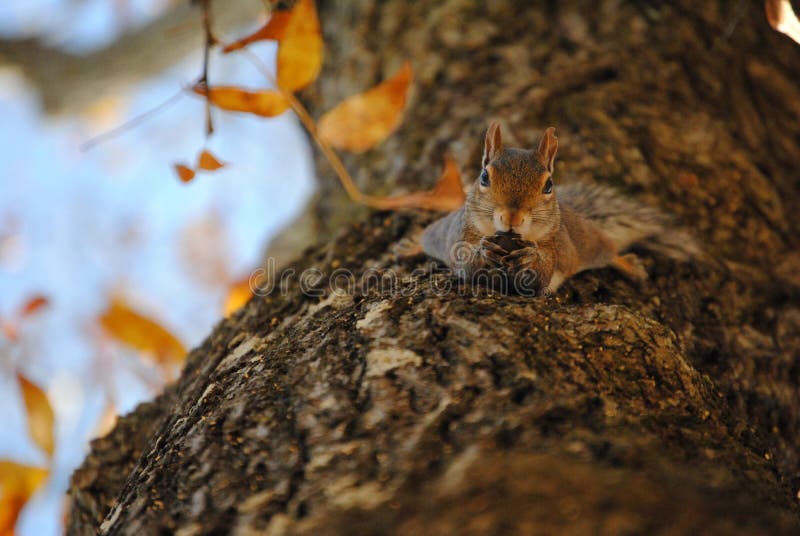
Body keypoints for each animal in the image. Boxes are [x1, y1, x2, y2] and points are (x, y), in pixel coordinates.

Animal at [417, 122, 699, 294]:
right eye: (484, 177)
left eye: (549, 185)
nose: (512, 218)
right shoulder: (462, 234)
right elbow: (466, 264)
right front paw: (483, 251)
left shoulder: (552, 249)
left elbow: (540, 273)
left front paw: (530, 256)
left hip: (587, 242)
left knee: (607, 249)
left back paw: (628, 265)